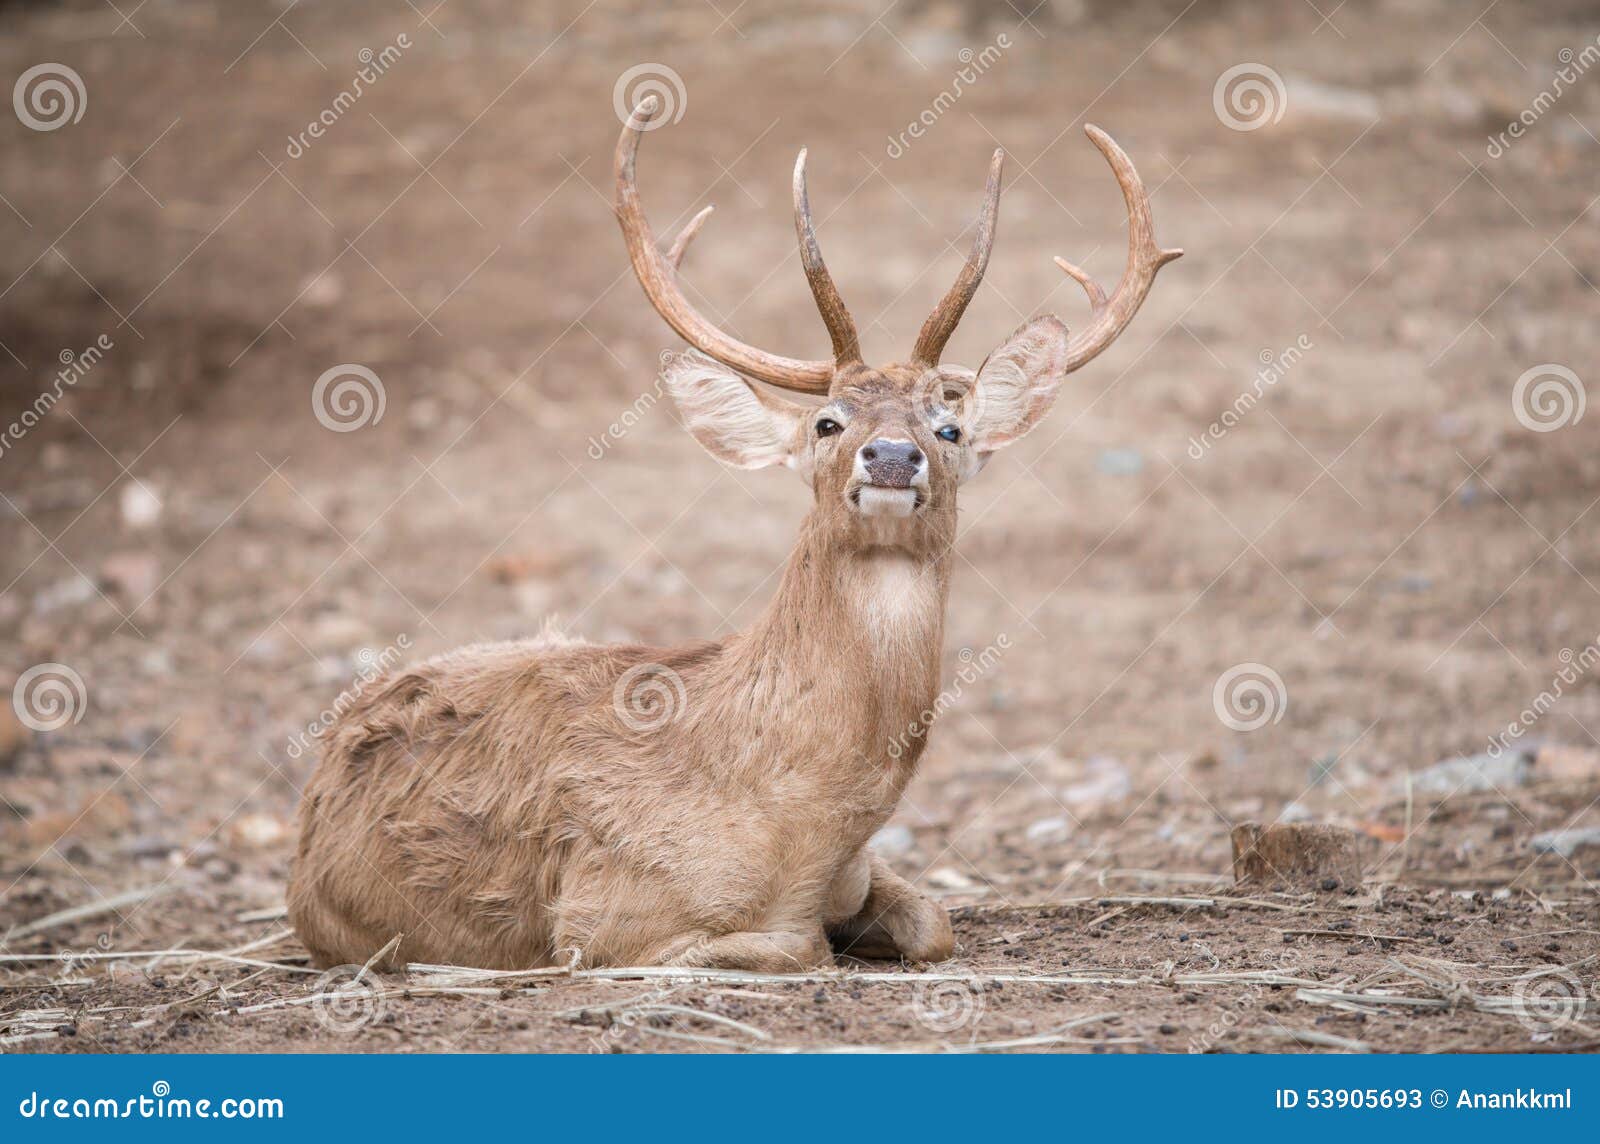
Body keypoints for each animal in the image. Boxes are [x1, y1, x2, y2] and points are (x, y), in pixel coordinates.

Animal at [286, 95, 1179, 973]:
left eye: (950, 427)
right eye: (827, 421)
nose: (893, 456)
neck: (802, 820)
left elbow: (934, 923)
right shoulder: (598, 913)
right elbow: (797, 948)